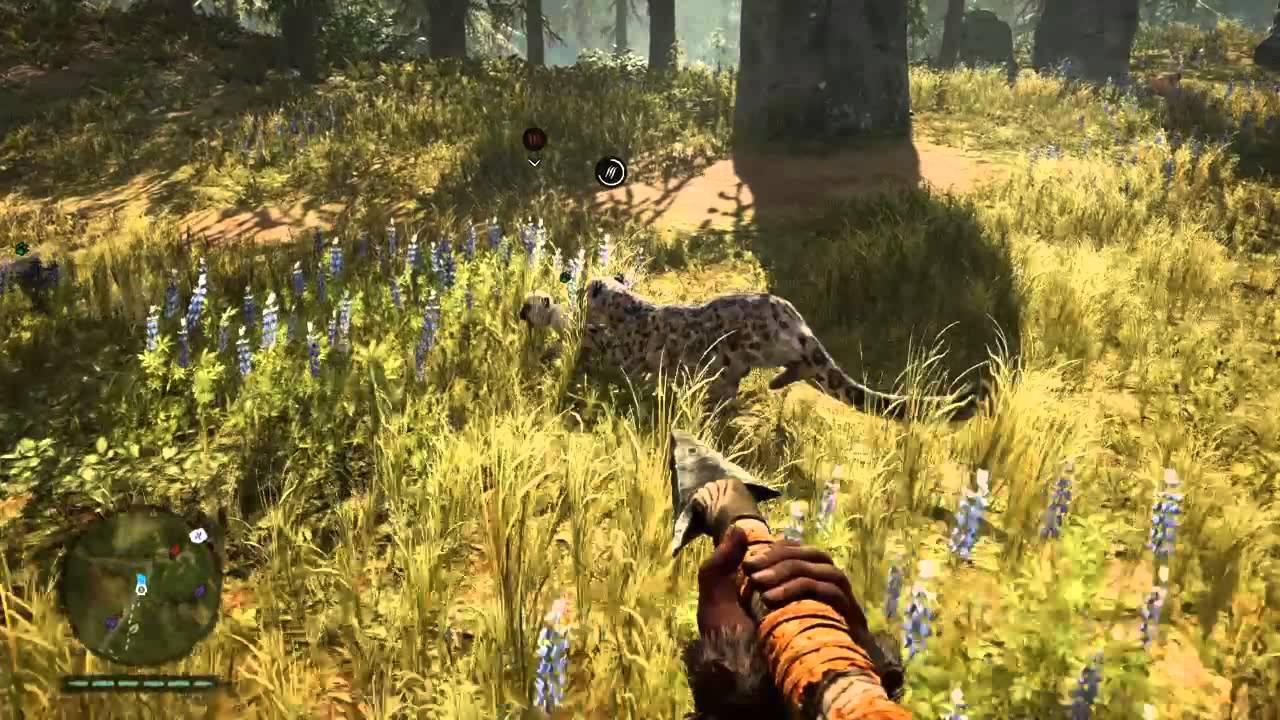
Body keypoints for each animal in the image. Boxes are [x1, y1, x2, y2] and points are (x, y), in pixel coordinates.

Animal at [520, 275, 985, 421]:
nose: (586, 286)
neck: (630, 309)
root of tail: (795, 319)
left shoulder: (623, 355)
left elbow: (590, 338)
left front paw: (555, 316)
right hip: (749, 361)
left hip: (759, 342)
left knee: (803, 363)